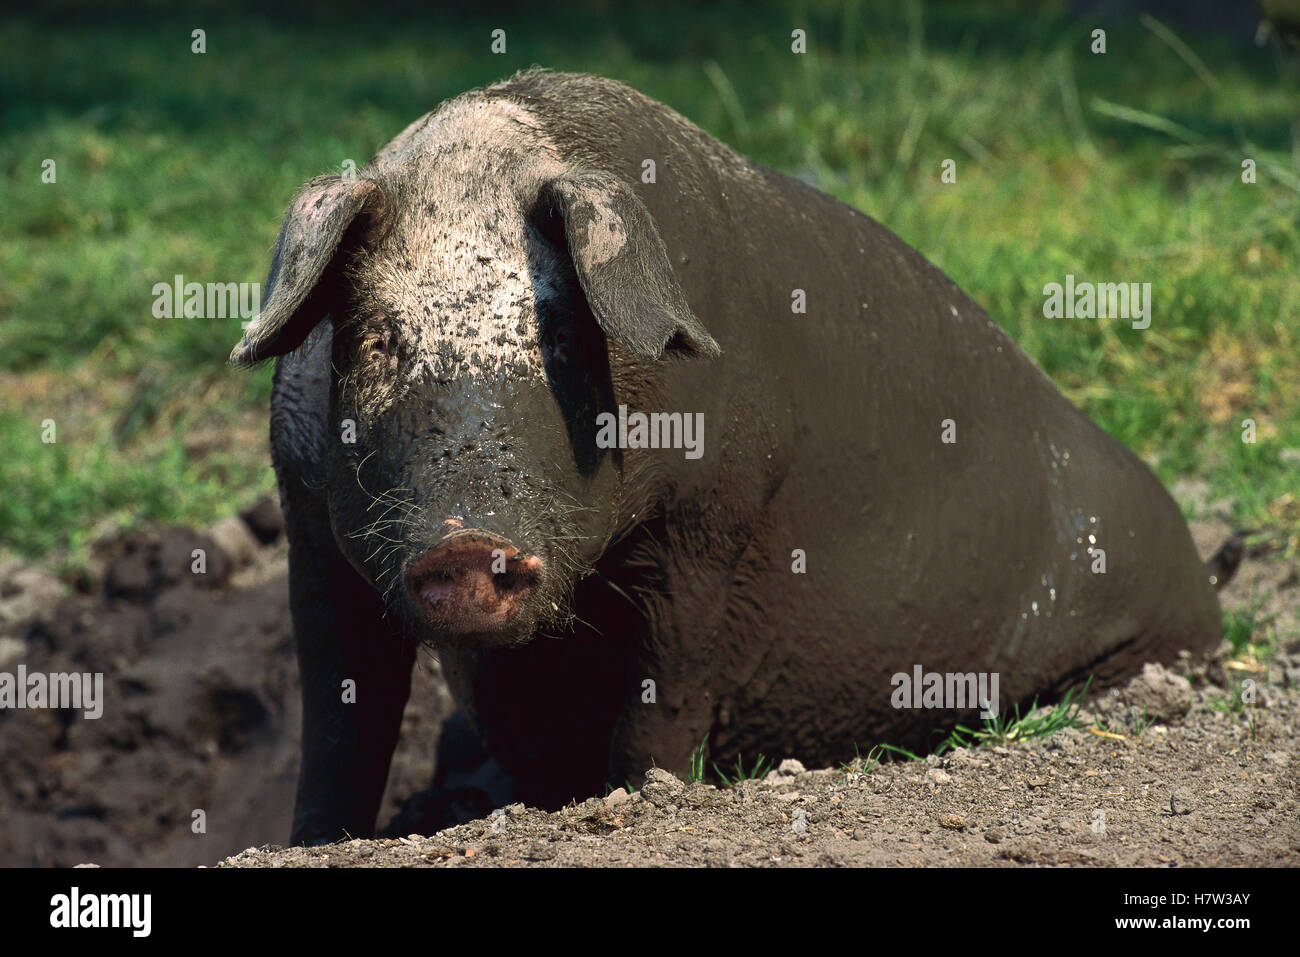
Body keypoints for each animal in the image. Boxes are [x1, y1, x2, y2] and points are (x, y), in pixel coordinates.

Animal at [230, 70, 1234, 845]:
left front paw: (636, 799)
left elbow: (665, 698)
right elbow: (338, 720)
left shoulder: (714, 517)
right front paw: (316, 840)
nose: (466, 546)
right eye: (374, 342)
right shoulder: (308, 521)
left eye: (562, 339)